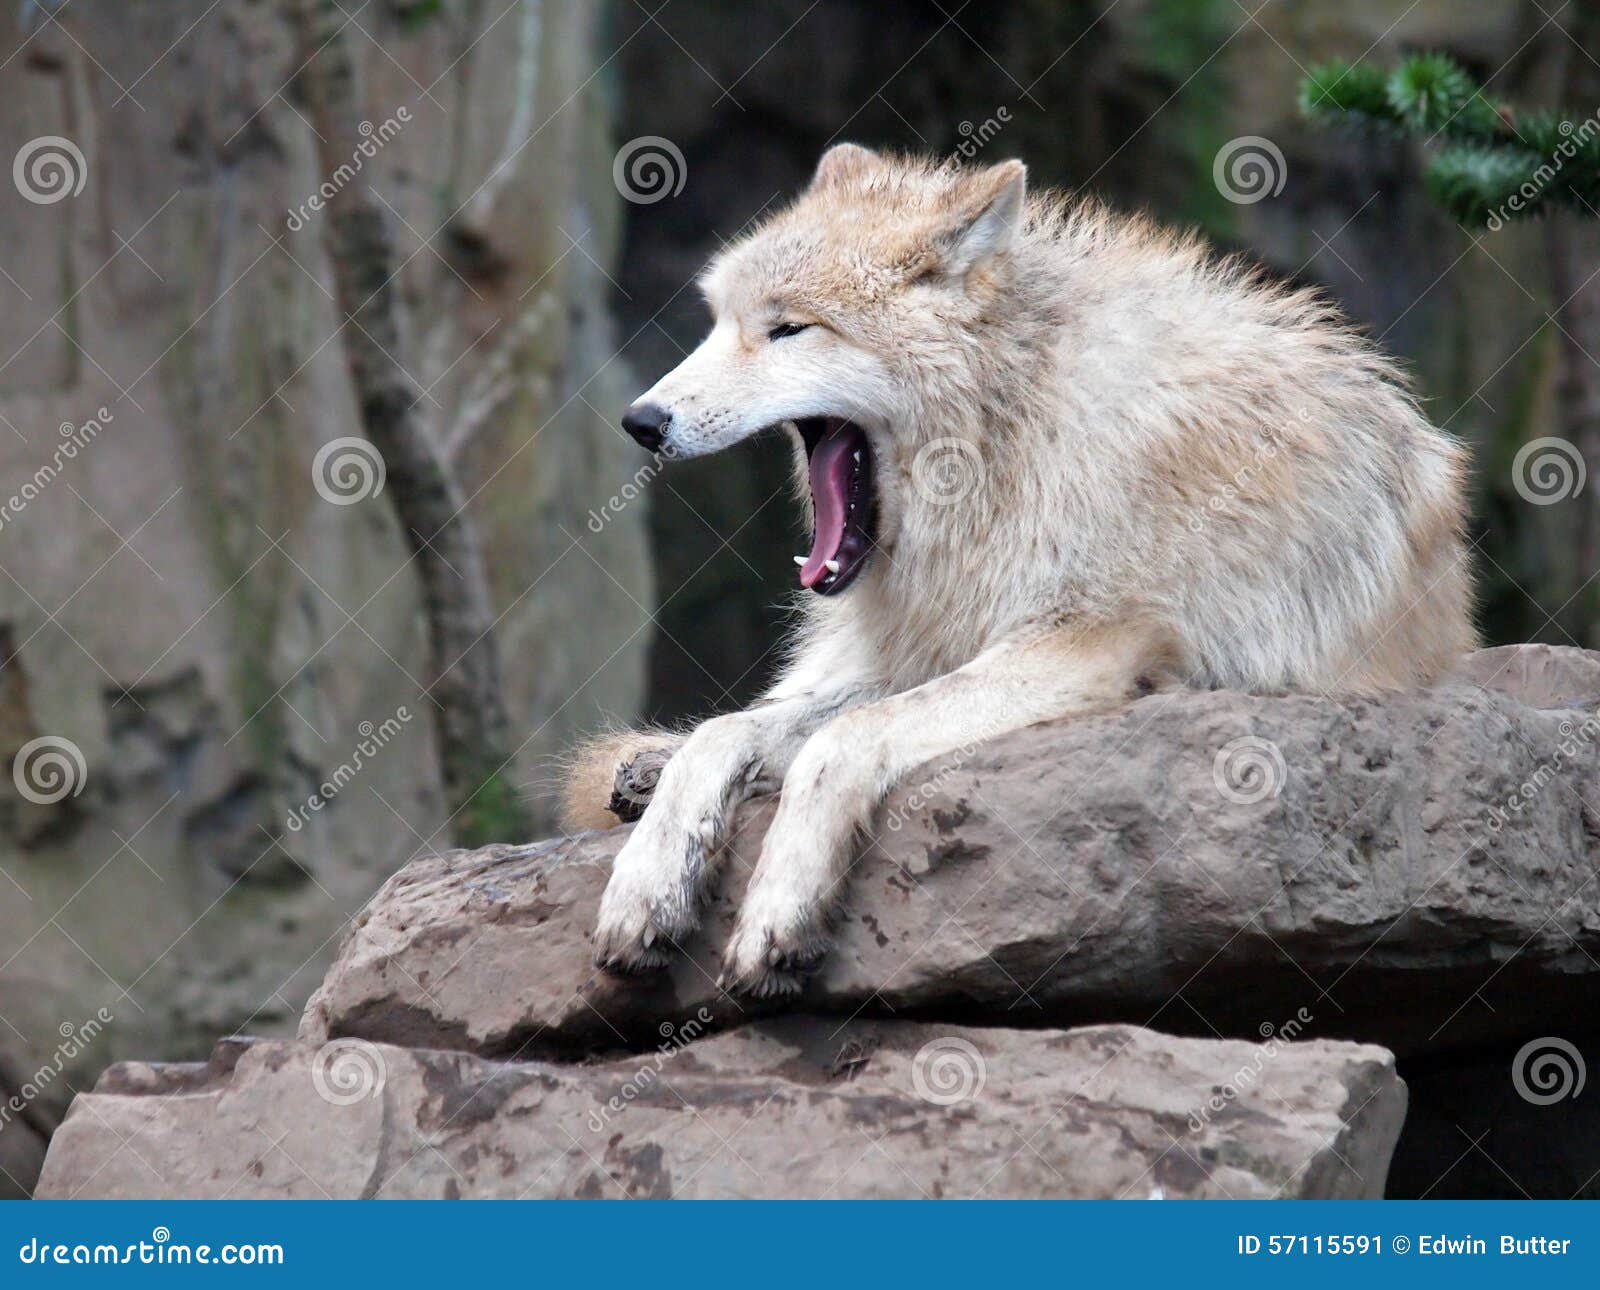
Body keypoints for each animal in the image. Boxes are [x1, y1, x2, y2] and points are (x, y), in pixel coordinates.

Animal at [564, 143, 1474, 997]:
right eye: (719, 323)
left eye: (789, 329)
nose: (642, 420)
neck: (1011, 432)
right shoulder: (939, 643)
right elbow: (728, 734)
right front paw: (648, 886)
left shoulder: (1082, 647)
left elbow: (839, 740)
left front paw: (781, 910)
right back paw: (640, 774)